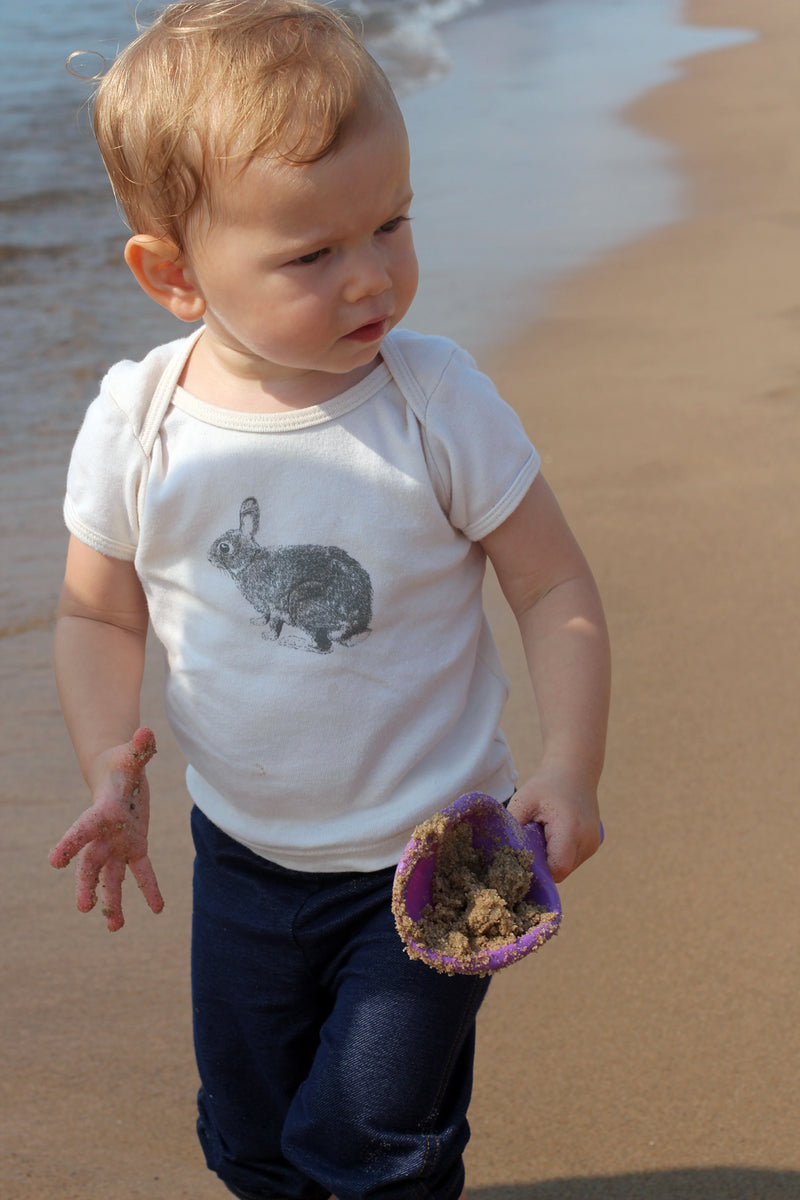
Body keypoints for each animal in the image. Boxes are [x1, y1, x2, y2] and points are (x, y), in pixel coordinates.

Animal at [208, 496, 373, 653]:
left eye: (224, 547)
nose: (209, 558)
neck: (249, 561)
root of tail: (358, 621)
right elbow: (266, 616)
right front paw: (257, 621)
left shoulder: (275, 604)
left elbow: (274, 623)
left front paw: (268, 636)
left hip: (302, 604)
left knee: (324, 646)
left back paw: (292, 642)